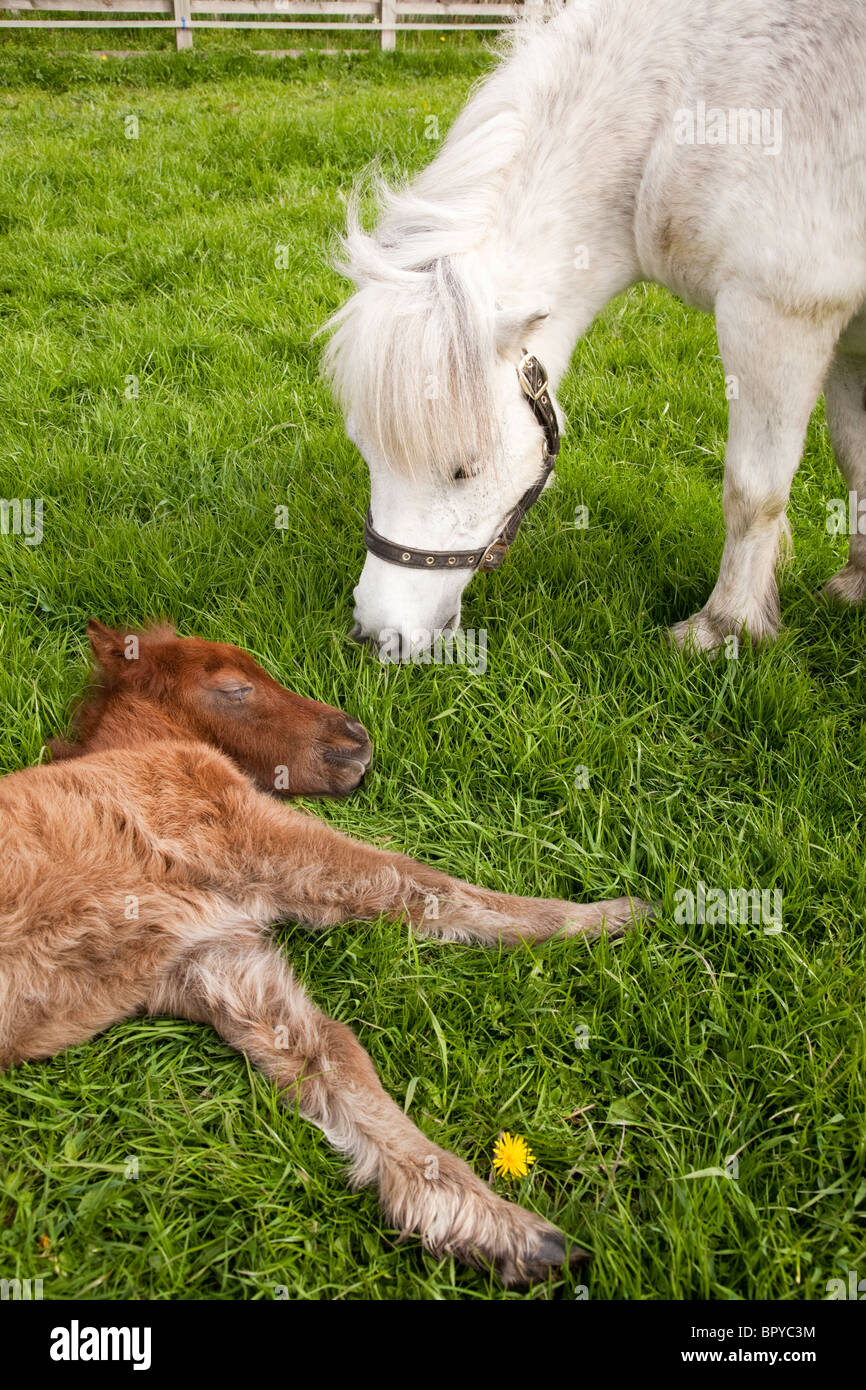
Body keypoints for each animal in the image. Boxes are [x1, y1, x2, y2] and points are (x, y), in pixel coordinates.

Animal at [0, 620, 650, 1286]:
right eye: (233, 688)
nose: (356, 739)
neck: (139, 752)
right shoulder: (250, 834)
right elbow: (419, 884)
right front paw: (611, 915)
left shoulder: (209, 955)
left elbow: (330, 1054)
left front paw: (496, 1231)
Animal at [323, 0, 866, 659]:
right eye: (365, 452)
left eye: (464, 470)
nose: (378, 634)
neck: (685, 103)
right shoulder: (849, 335)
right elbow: (856, 457)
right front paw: (857, 583)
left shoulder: (776, 314)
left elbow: (753, 491)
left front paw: (725, 627)